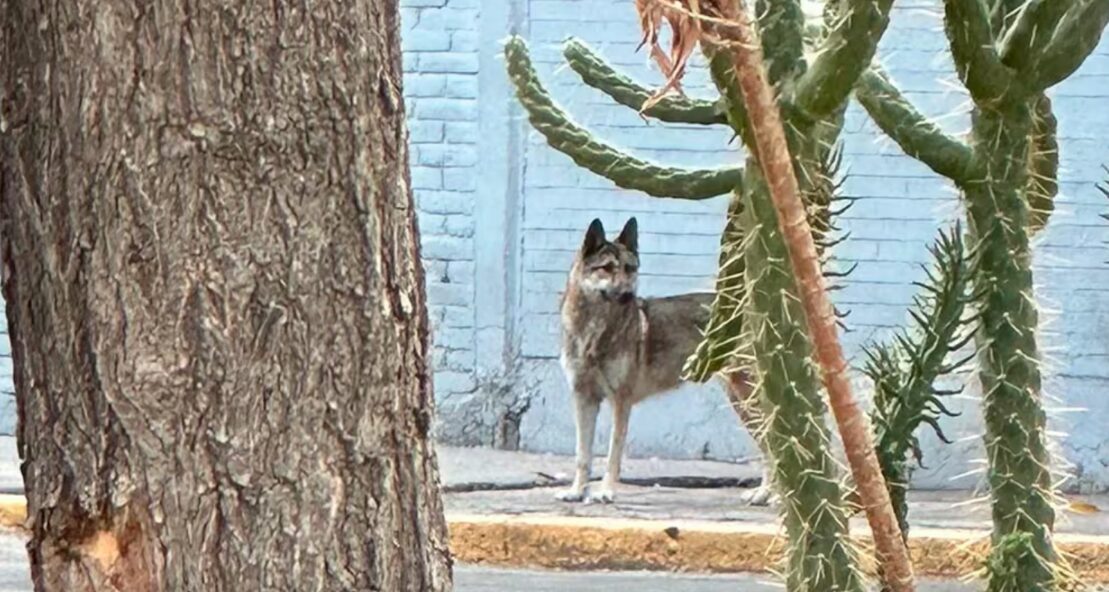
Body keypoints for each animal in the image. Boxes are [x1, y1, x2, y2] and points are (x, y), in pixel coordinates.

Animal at [556, 217, 772, 504]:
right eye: (607, 268)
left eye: (630, 269)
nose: (628, 295)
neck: (594, 330)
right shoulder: (583, 399)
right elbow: (582, 454)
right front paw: (577, 491)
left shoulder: (620, 401)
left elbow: (613, 454)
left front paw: (606, 491)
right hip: (741, 401)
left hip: (748, 397)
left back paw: (770, 495)